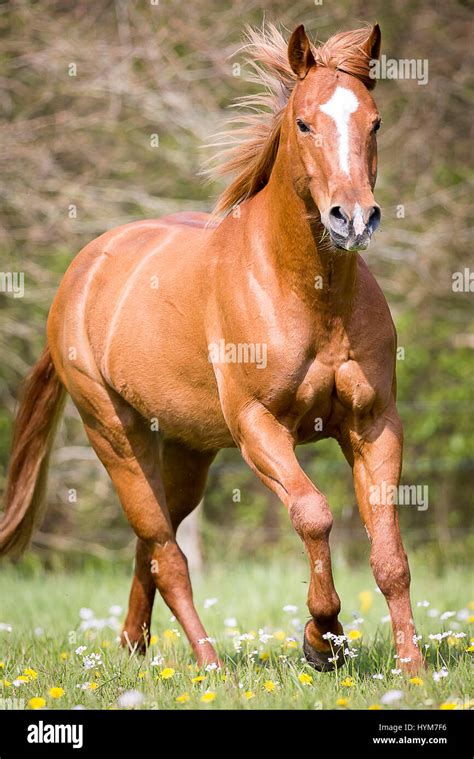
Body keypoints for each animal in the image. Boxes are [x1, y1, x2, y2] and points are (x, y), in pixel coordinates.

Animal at [0, 23, 424, 672]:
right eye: (304, 123)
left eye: (374, 123)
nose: (353, 218)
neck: (310, 295)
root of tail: (81, 274)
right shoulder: (258, 427)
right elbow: (314, 514)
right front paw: (322, 638)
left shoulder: (375, 425)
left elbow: (391, 557)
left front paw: (414, 669)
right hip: (116, 436)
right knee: (166, 553)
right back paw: (209, 665)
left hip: (187, 451)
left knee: (151, 545)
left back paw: (133, 648)